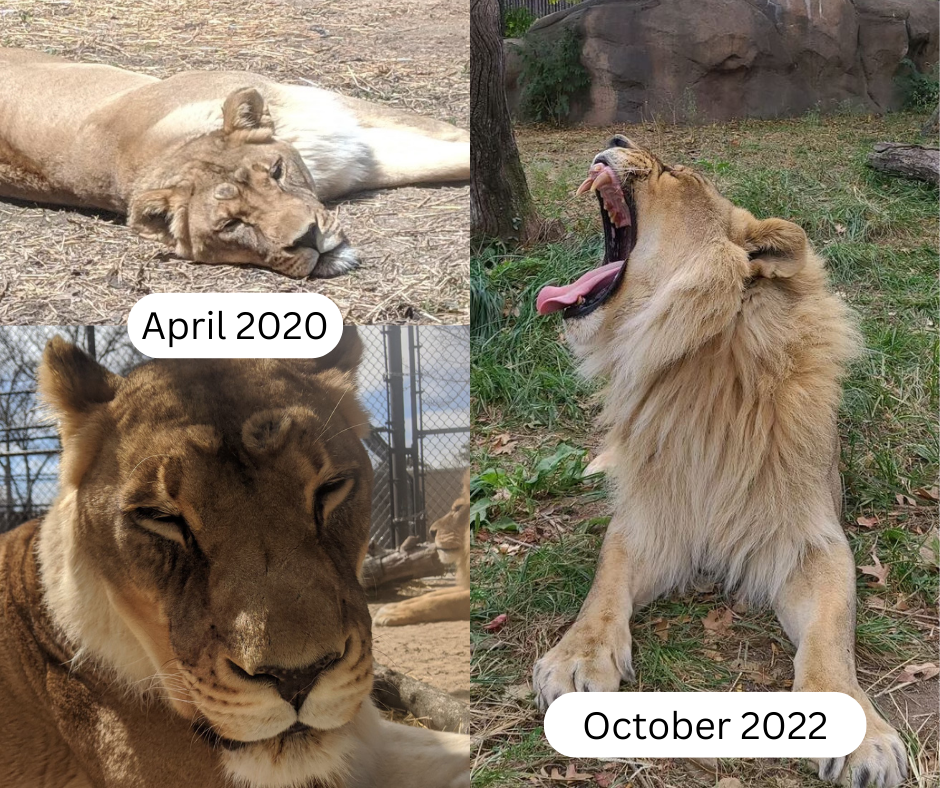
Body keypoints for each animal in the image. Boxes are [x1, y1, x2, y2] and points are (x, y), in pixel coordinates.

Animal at [373, 470, 471, 627]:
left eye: (458, 508)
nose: (431, 532)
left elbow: (443, 601)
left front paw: (394, 613)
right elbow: (432, 594)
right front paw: (393, 606)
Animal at [532, 137, 907, 788]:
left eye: (677, 173)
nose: (619, 142)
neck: (694, 361)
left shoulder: (809, 540)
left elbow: (832, 634)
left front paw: (862, 734)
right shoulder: (651, 518)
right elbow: (603, 585)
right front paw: (578, 658)